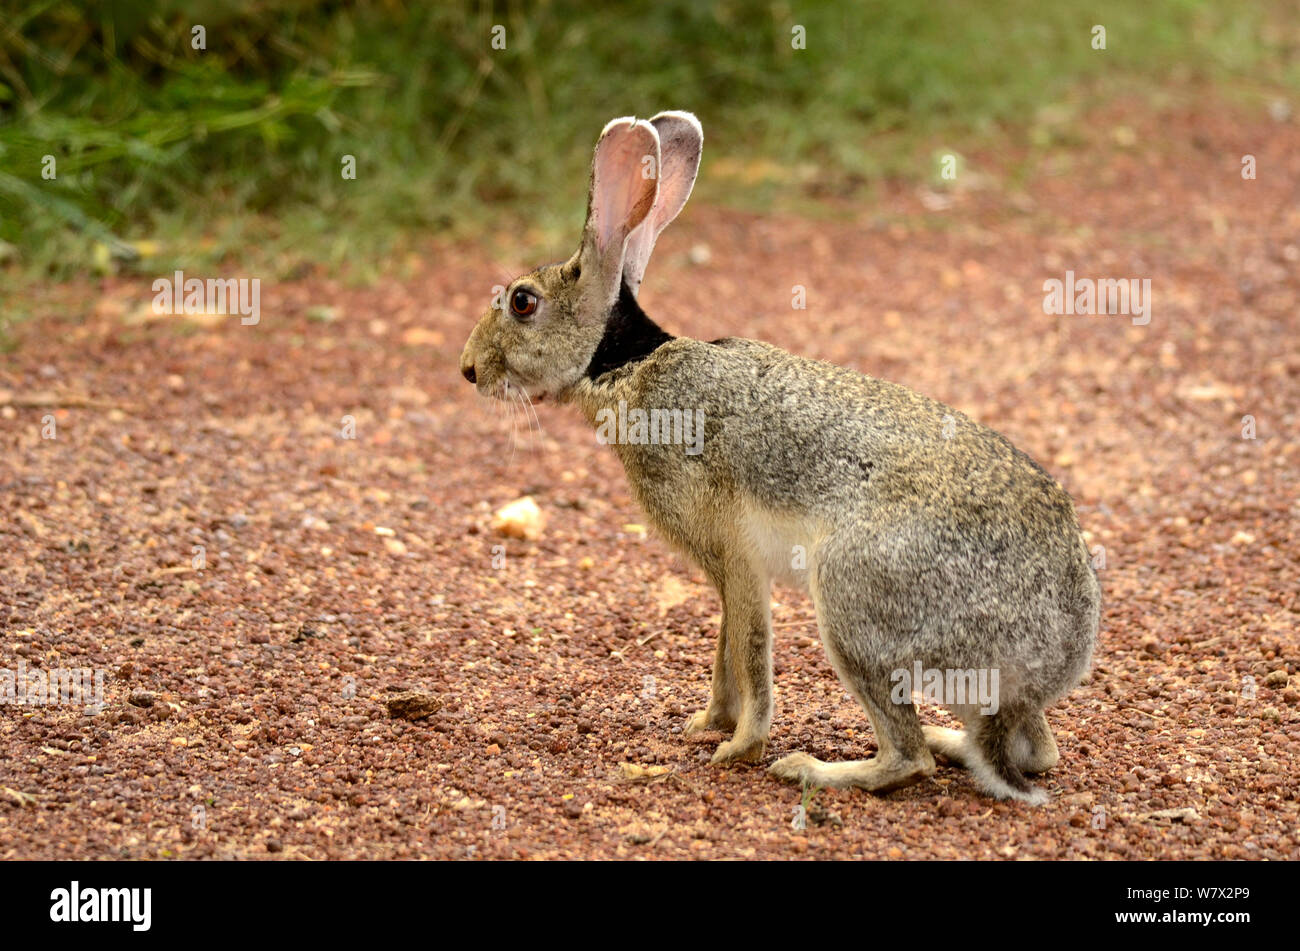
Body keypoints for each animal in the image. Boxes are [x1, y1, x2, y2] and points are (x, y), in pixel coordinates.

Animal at [459, 111, 1100, 804]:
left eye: (522, 302)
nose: (468, 370)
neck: (625, 365)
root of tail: (1055, 654)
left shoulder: (733, 557)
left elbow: (749, 646)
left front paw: (739, 746)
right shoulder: (725, 570)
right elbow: (726, 644)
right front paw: (705, 724)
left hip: (854, 600)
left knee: (909, 758)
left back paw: (811, 769)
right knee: (1035, 751)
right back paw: (950, 742)